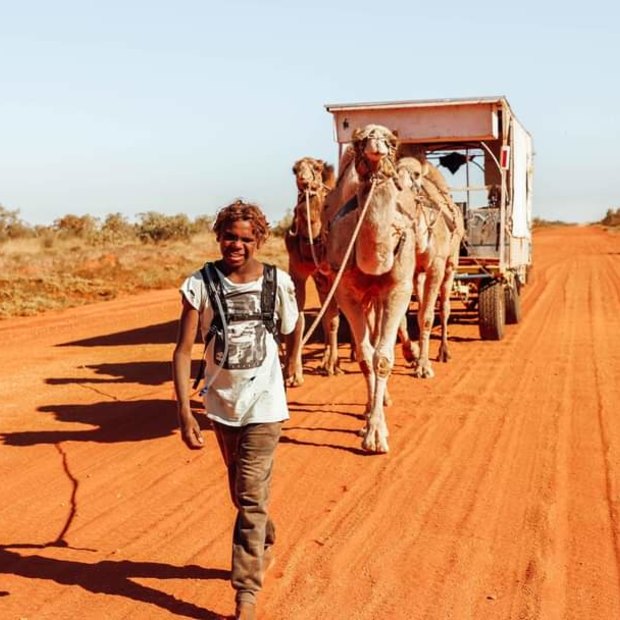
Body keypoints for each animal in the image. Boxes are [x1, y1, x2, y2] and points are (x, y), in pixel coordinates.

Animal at [324, 124, 416, 456]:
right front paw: (370, 427)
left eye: (391, 140)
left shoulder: (399, 288)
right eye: (359, 138)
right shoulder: (346, 292)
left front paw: (377, 434)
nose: (376, 142)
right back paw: (370, 405)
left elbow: (383, 358)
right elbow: (365, 356)